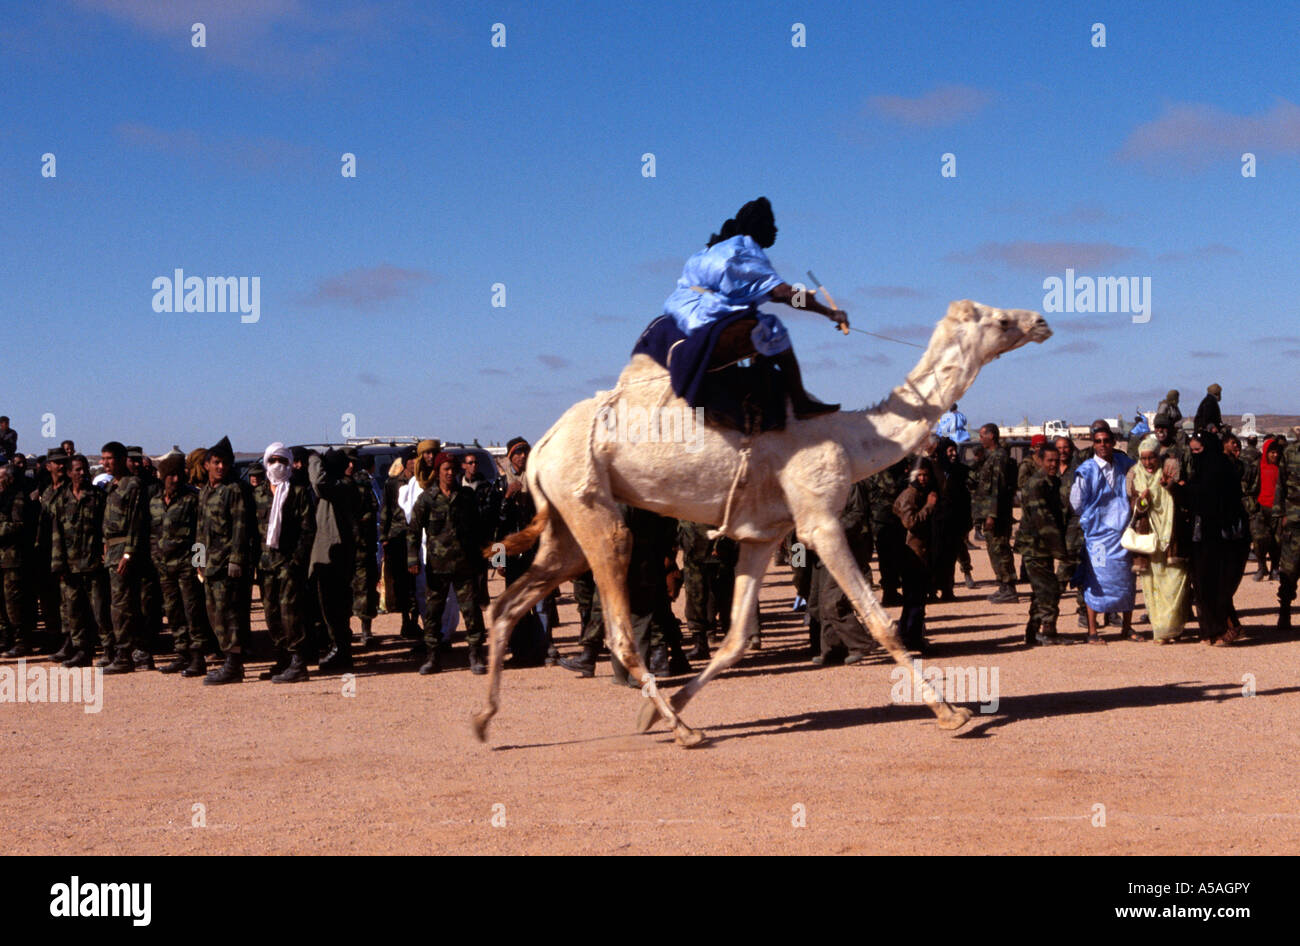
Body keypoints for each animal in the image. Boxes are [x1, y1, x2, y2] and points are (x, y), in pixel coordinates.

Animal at [473, 300, 1052, 747]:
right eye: (1001, 320)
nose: (1041, 320)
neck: (854, 438)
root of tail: (542, 447)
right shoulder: (818, 519)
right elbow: (878, 619)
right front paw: (953, 714)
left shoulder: (761, 534)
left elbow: (736, 638)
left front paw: (647, 714)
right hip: (593, 506)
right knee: (617, 624)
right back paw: (684, 732)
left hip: (566, 521)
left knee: (507, 605)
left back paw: (484, 721)